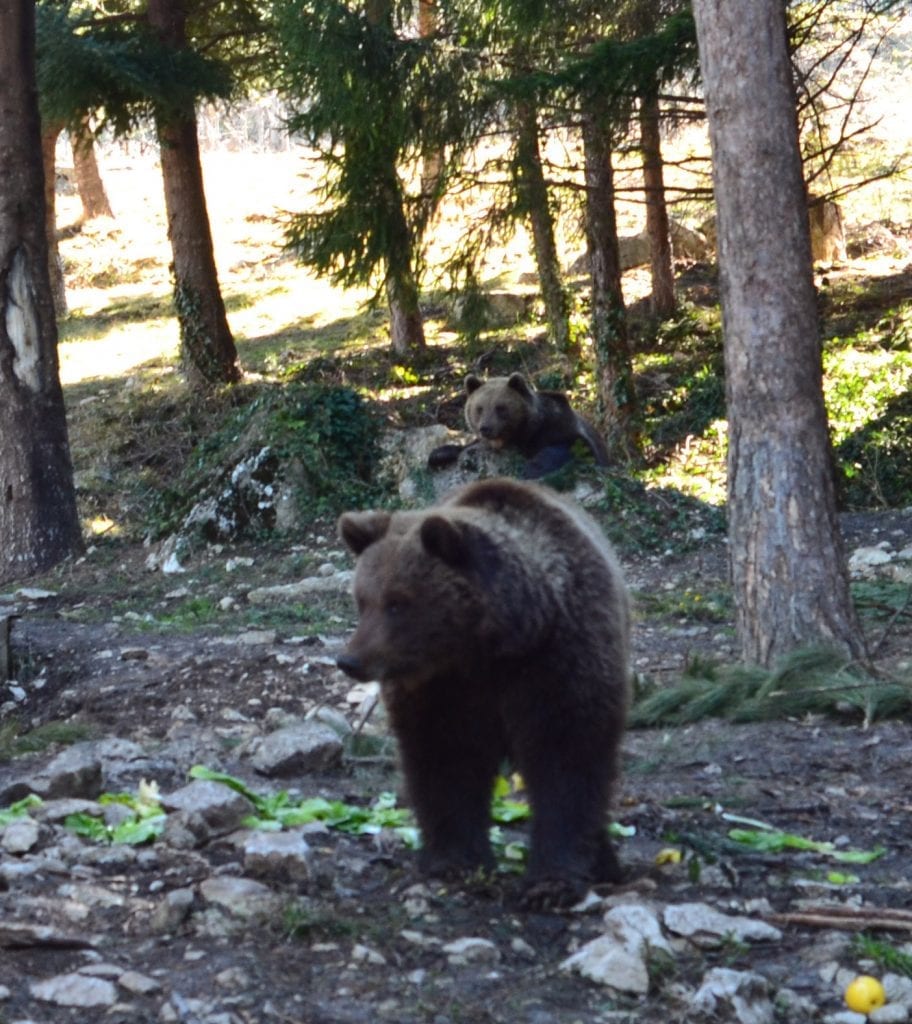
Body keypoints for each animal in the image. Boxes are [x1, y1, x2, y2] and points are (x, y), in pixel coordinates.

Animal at [336, 477, 630, 905]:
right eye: (362, 600)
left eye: (397, 603)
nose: (350, 660)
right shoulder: (445, 690)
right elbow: (449, 760)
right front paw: (456, 861)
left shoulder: (558, 660)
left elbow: (566, 758)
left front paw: (551, 882)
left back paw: (606, 862)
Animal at [428, 372, 611, 479]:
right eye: (479, 408)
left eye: (500, 408)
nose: (485, 428)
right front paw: (438, 455)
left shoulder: (558, 426)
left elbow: (565, 446)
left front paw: (530, 469)